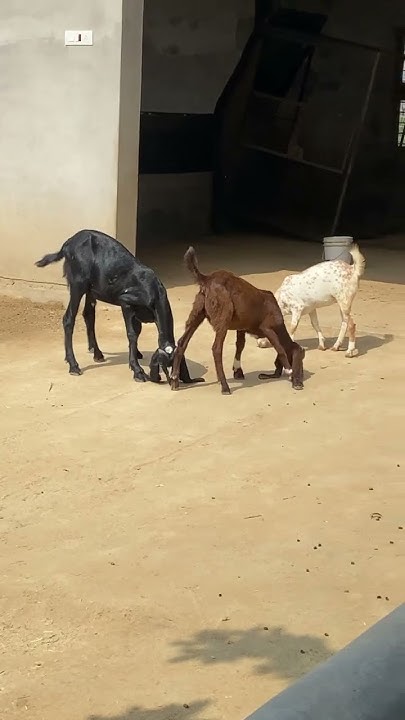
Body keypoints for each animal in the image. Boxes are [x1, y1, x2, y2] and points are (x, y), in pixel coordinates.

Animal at [35, 229, 204, 385]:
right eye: (162, 366)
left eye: (176, 366)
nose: (171, 382)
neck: (154, 291)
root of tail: (68, 243)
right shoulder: (126, 302)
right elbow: (132, 334)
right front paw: (137, 370)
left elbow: (137, 331)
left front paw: (136, 355)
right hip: (78, 283)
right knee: (68, 318)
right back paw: (73, 365)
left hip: (91, 289)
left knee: (88, 314)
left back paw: (97, 353)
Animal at [170, 247, 305, 394]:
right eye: (301, 360)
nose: (301, 380)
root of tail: (207, 279)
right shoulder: (268, 328)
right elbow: (280, 349)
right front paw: (290, 372)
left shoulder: (242, 327)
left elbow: (240, 345)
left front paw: (237, 371)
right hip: (223, 316)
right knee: (216, 349)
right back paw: (224, 386)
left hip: (197, 312)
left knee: (182, 342)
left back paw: (175, 381)